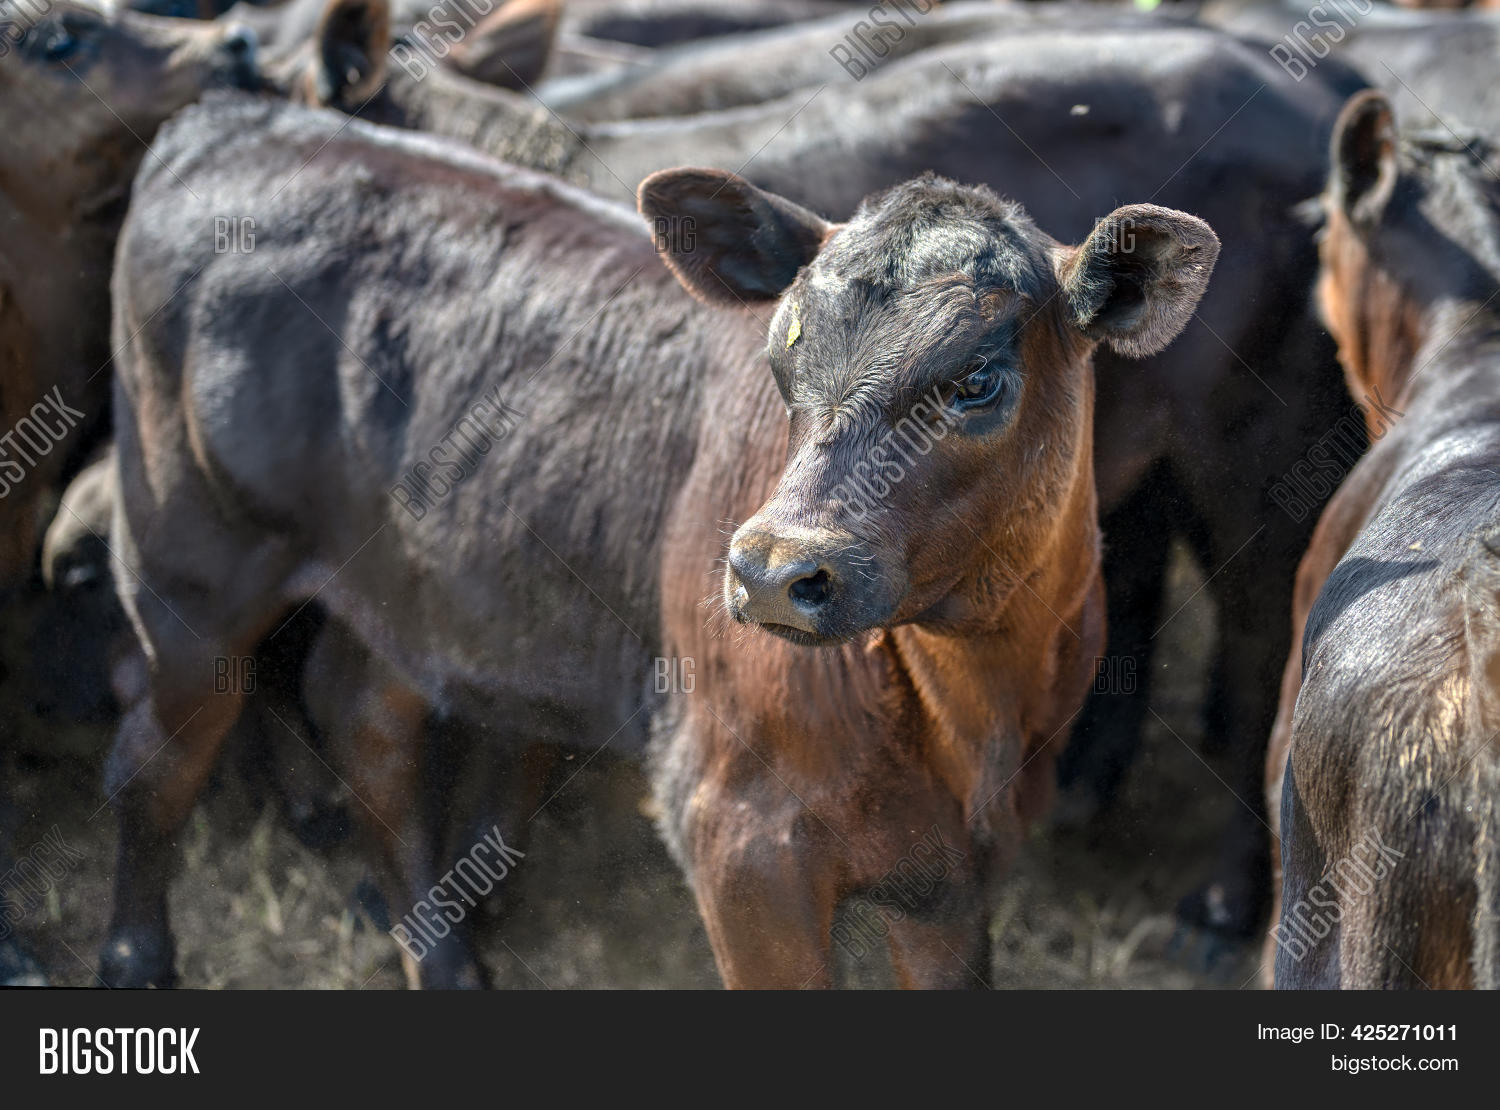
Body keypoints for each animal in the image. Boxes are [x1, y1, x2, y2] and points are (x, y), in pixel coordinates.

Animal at [98, 90, 1216, 987]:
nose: (772, 574)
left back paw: (447, 964)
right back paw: (134, 962)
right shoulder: (741, 838)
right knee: (156, 753)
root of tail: (239, 118)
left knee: (365, 720)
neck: (969, 709)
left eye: (980, 378)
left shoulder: (955, 878)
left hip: (399, 582)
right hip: (190, 567)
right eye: (780, 358)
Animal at [291, 0, 1366, 946]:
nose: (771, 575)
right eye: (780, 357)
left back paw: (1224, 904)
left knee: (1265, 648)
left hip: (1267, 451)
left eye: (977, 378)